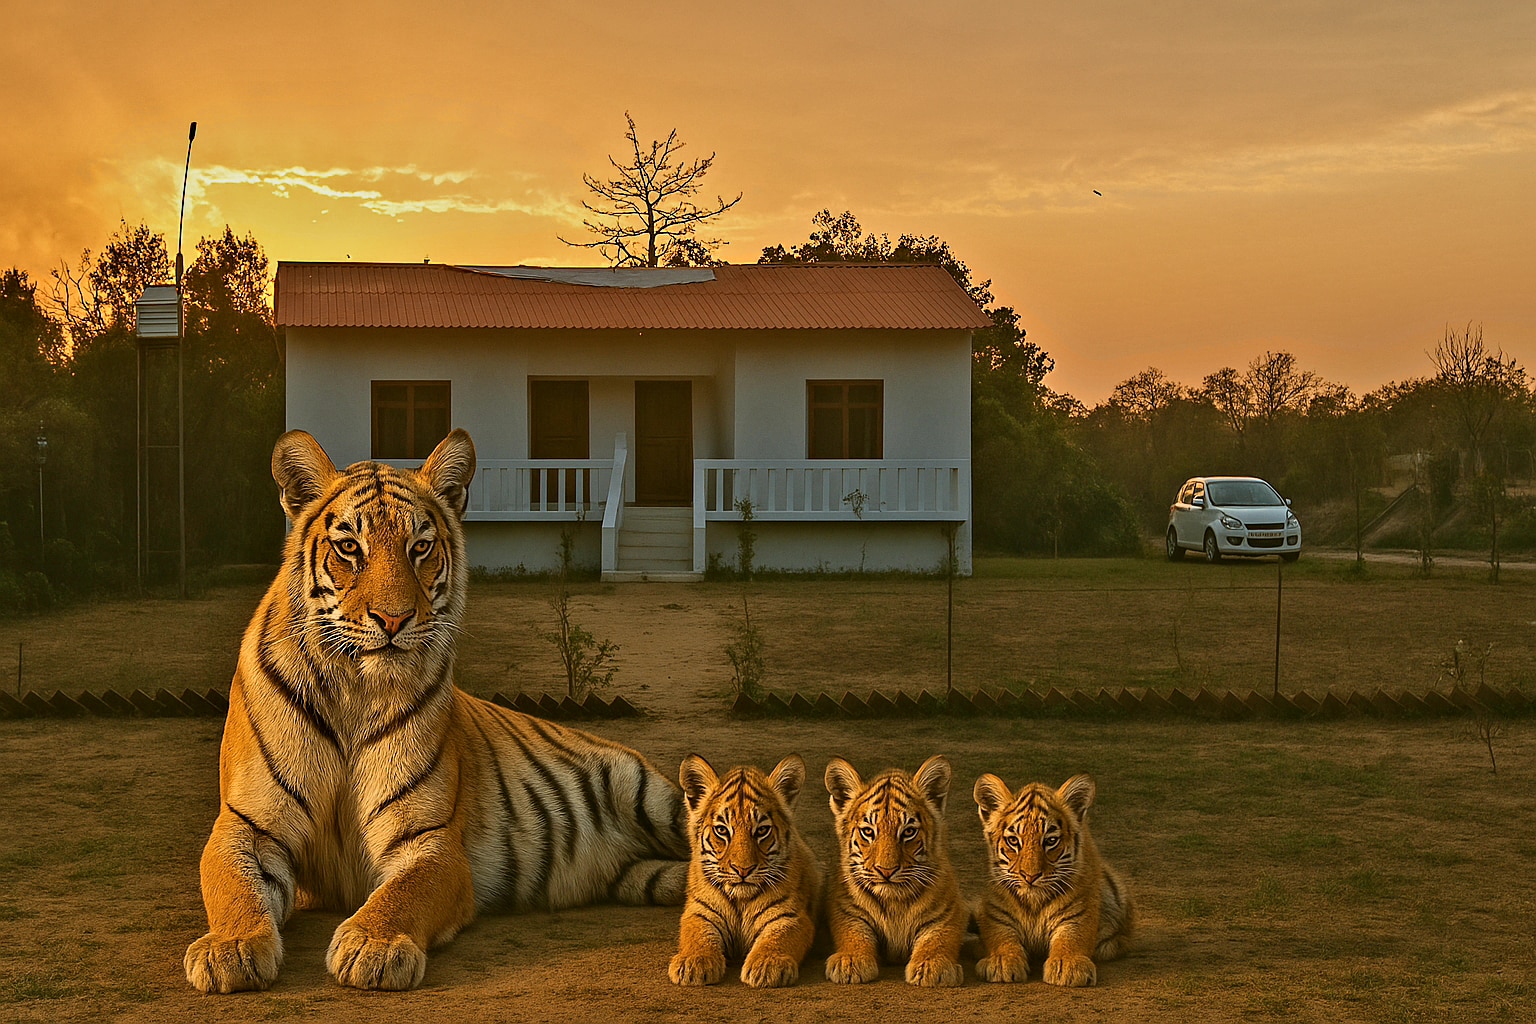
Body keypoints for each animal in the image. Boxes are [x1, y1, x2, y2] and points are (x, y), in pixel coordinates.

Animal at [183, 428, 692, 994]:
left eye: (420, 547)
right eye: (349, 547)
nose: (393, 619)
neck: (354, 692)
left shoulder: (429, 839)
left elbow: (403, 894)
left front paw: (373, 945)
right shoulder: (246, 824)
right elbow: (233, 887)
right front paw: (230, 947)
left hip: (656, 799)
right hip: (642, 874)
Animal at [669, 754, 821, 989]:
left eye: (762, 830)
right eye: (722, 830)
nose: (743, 870)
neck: (741, 900)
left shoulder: (791, 916)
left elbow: (778, 937)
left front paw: (767, 965)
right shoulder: (699, 911)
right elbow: (698, 935)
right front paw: (693, 962)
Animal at [823, 755, 968, 987]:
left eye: (908, 832)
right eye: (868, 832)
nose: (886, 871)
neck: (894, 901)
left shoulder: (949, 911)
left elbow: (939, 937)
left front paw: (933, 966)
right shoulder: (844, 908)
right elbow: (852, 933)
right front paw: (850, 961)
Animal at [972, 773, 1135, 987]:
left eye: (1050, 841)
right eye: (1013, 840)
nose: (1030, 876)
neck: (1033, 902)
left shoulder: (1078, 914)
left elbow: (1071, 938)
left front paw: (1068, 966)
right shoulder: (995, 912)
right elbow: (999, 936)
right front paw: (1001, 961)